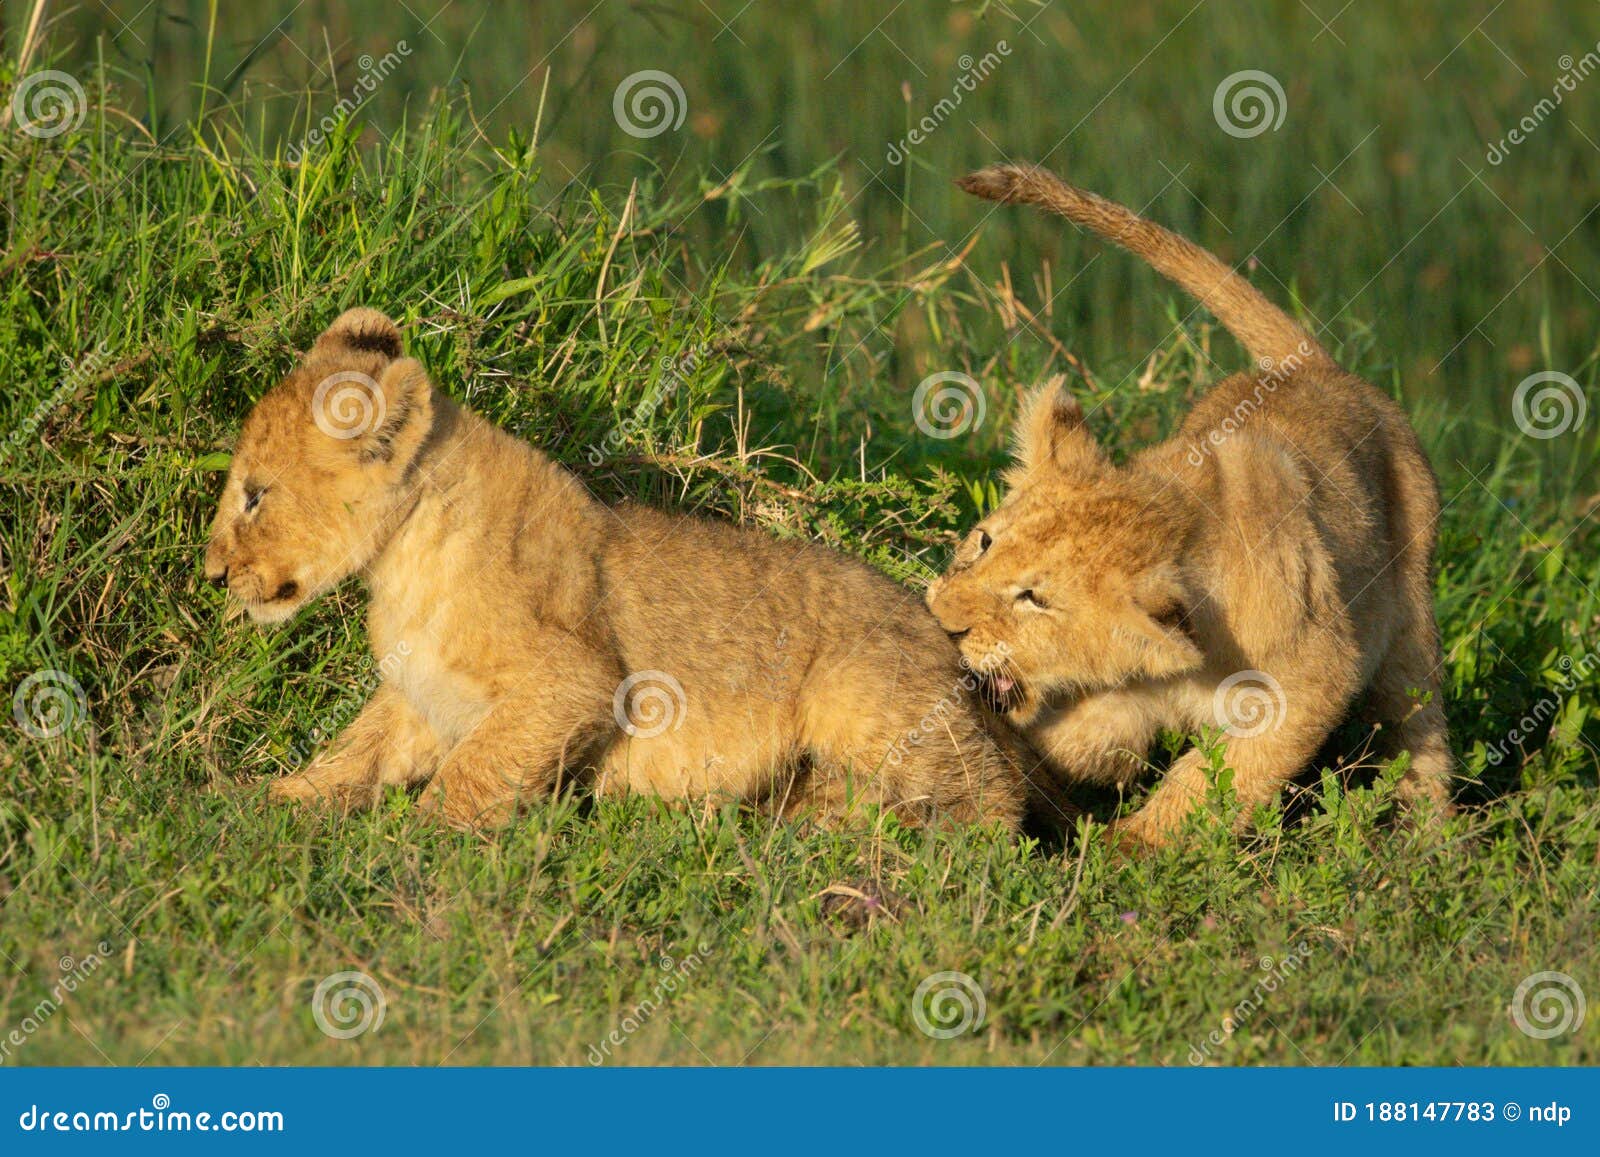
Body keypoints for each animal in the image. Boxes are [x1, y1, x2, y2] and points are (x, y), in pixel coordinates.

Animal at [204, 308, 1037, 832]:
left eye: (255, 494)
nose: (212, 574)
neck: (404, 553)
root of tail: (943, 632)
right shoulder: (421, 692)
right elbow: (358, 749)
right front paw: (268, 801)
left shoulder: (575, 680)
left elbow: (472, 773)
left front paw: (419, 837)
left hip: (856, 693)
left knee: (992, 808)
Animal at [925, 163, 1453, 851]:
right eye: (985, 541)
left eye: (1035, 599)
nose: (942, 620)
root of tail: (1318, 367)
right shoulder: (1134, 693)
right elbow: (1085, 740)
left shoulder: (1313, 676)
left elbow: (1217, 775)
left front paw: (1130, 849)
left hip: (1409, 612)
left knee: (1419, 719)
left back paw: (1431, 838)